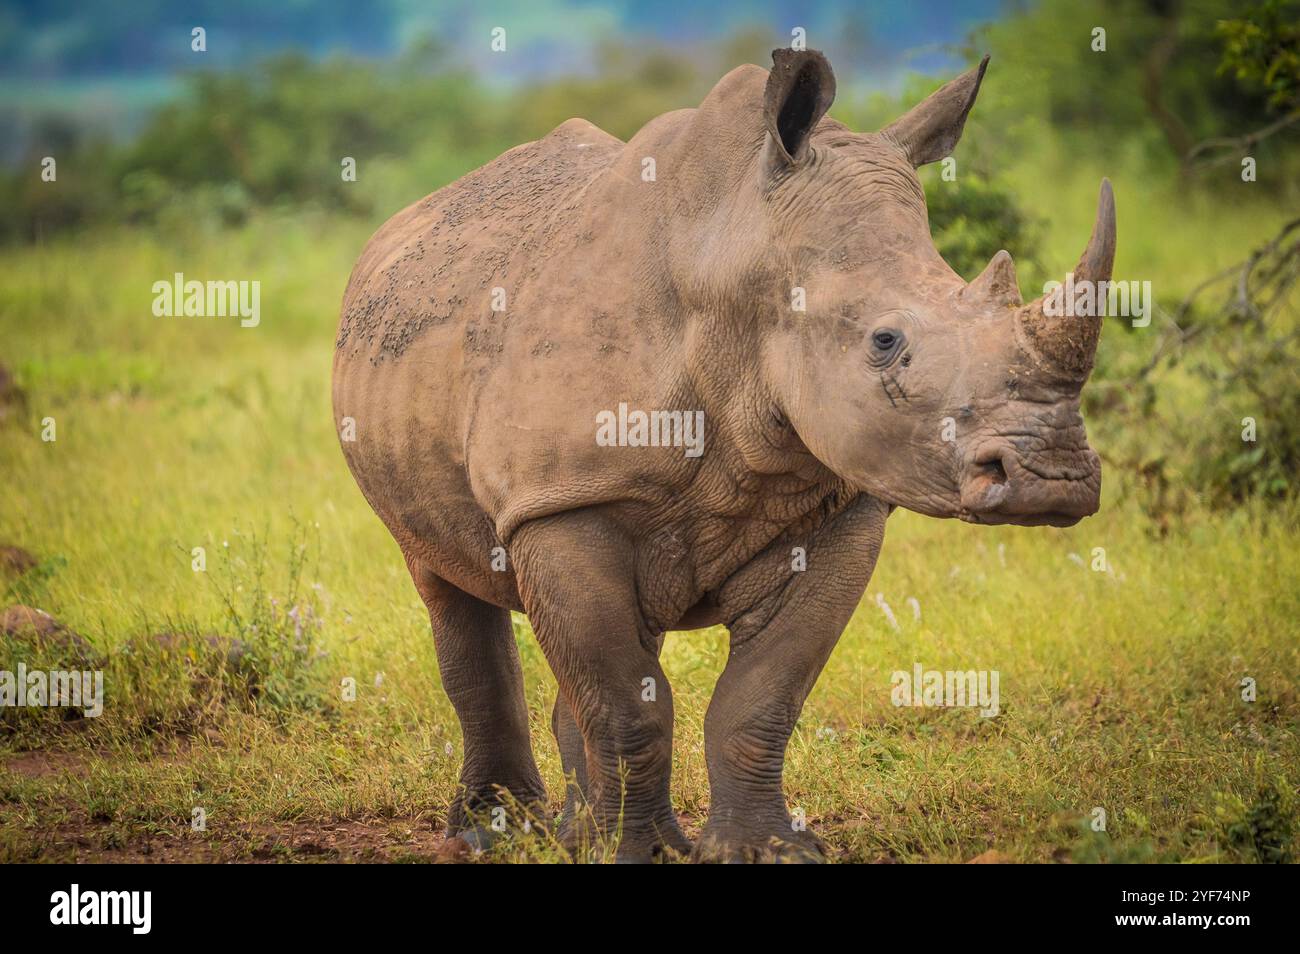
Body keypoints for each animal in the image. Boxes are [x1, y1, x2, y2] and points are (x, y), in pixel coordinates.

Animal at [332, 49, 1116, 862]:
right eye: (885, 341)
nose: (1052, 479)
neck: (739, 258)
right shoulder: (561, 498)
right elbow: (626, 703)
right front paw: (637, 854)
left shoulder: (844, 510)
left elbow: (759, 700)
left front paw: (762, 850)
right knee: (446, 583)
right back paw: (494, 833)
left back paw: (575, 835)